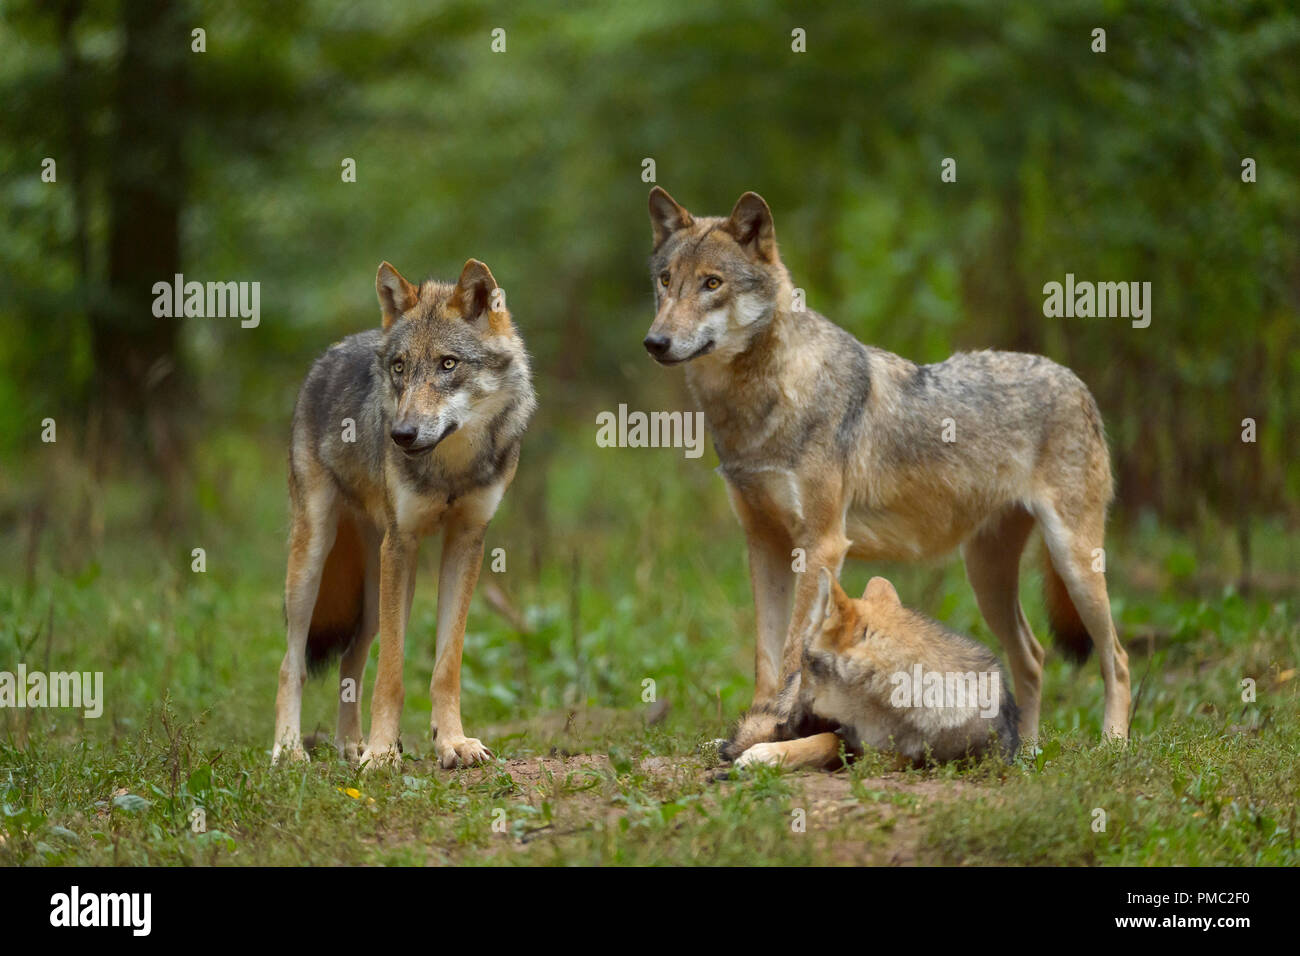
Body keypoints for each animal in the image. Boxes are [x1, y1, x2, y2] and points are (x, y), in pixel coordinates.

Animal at [271, 258, 536, 769]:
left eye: (448, 364)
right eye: (399, 367)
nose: (402, 434)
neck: (451, 466)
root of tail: (331, 352)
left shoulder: (466, 543)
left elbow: (447, 665)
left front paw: (452, 742)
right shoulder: (404, 544)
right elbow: (391, 671)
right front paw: (381, 754)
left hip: (375, 587)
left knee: (351, 659)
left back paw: (348, 745)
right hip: (316, 562)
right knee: (290, 662)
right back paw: (290, 749)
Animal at [734, 568, 1018, 771]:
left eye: (807, 663)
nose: (786, 725)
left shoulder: (888, 757)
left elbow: (832, 742)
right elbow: (825, 740)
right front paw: (765, 754)